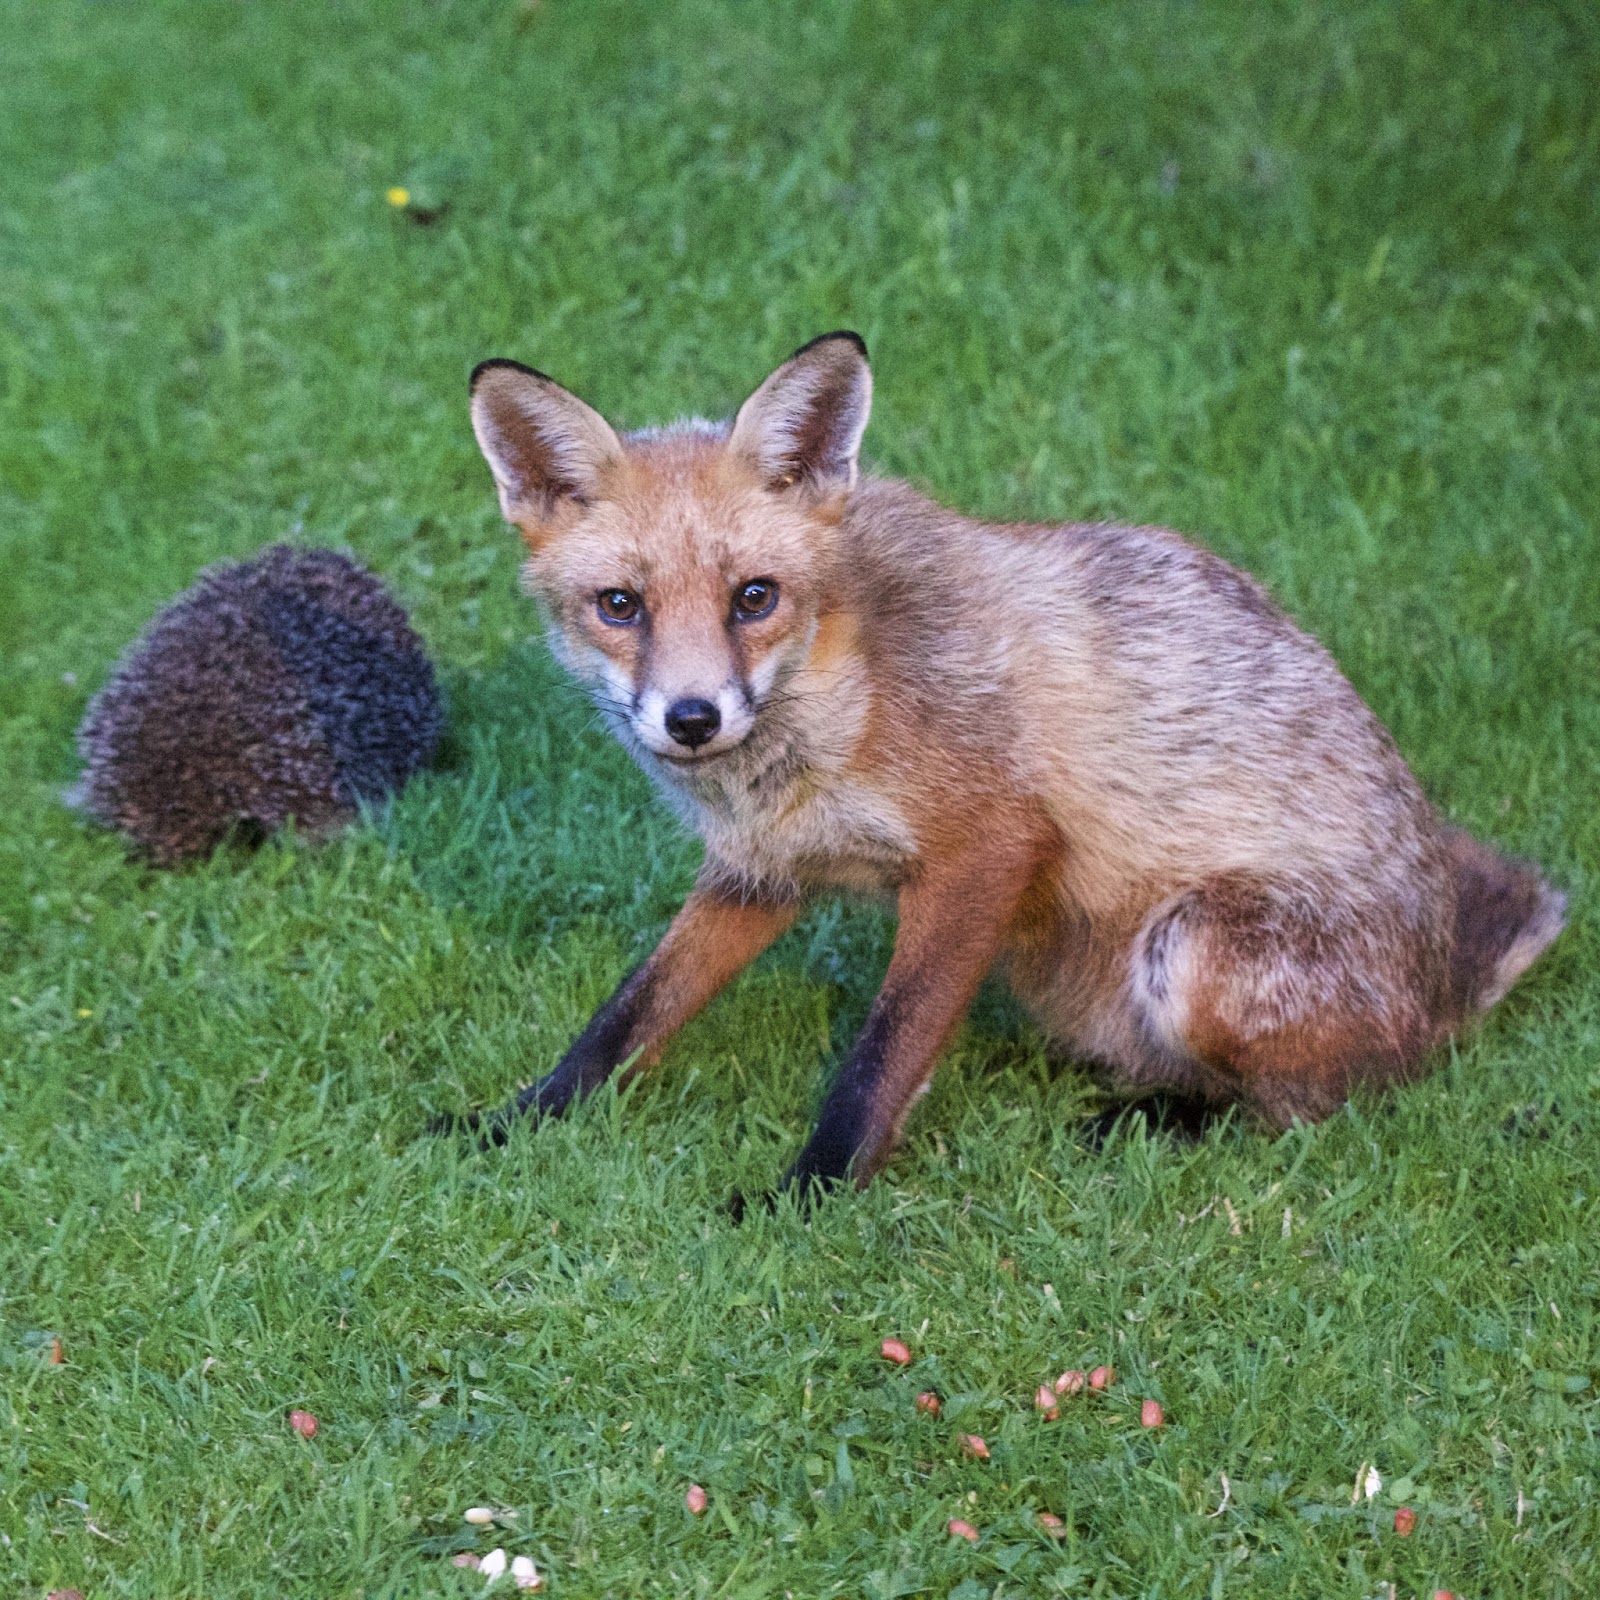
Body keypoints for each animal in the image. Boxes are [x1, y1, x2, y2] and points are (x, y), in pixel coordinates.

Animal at [462, 330, 1565, 1198]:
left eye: (753, 597)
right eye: (620, 607)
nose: (691, 719)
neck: (837, 699)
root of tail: (1447, 967)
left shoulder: (984, 851)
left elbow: (880, 1055)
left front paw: (809, 1192)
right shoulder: (758, 869)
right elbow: (626, 1016)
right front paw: (512, 1121)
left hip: (1191, 949)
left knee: (1324, 1102)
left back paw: (1160, 1121)